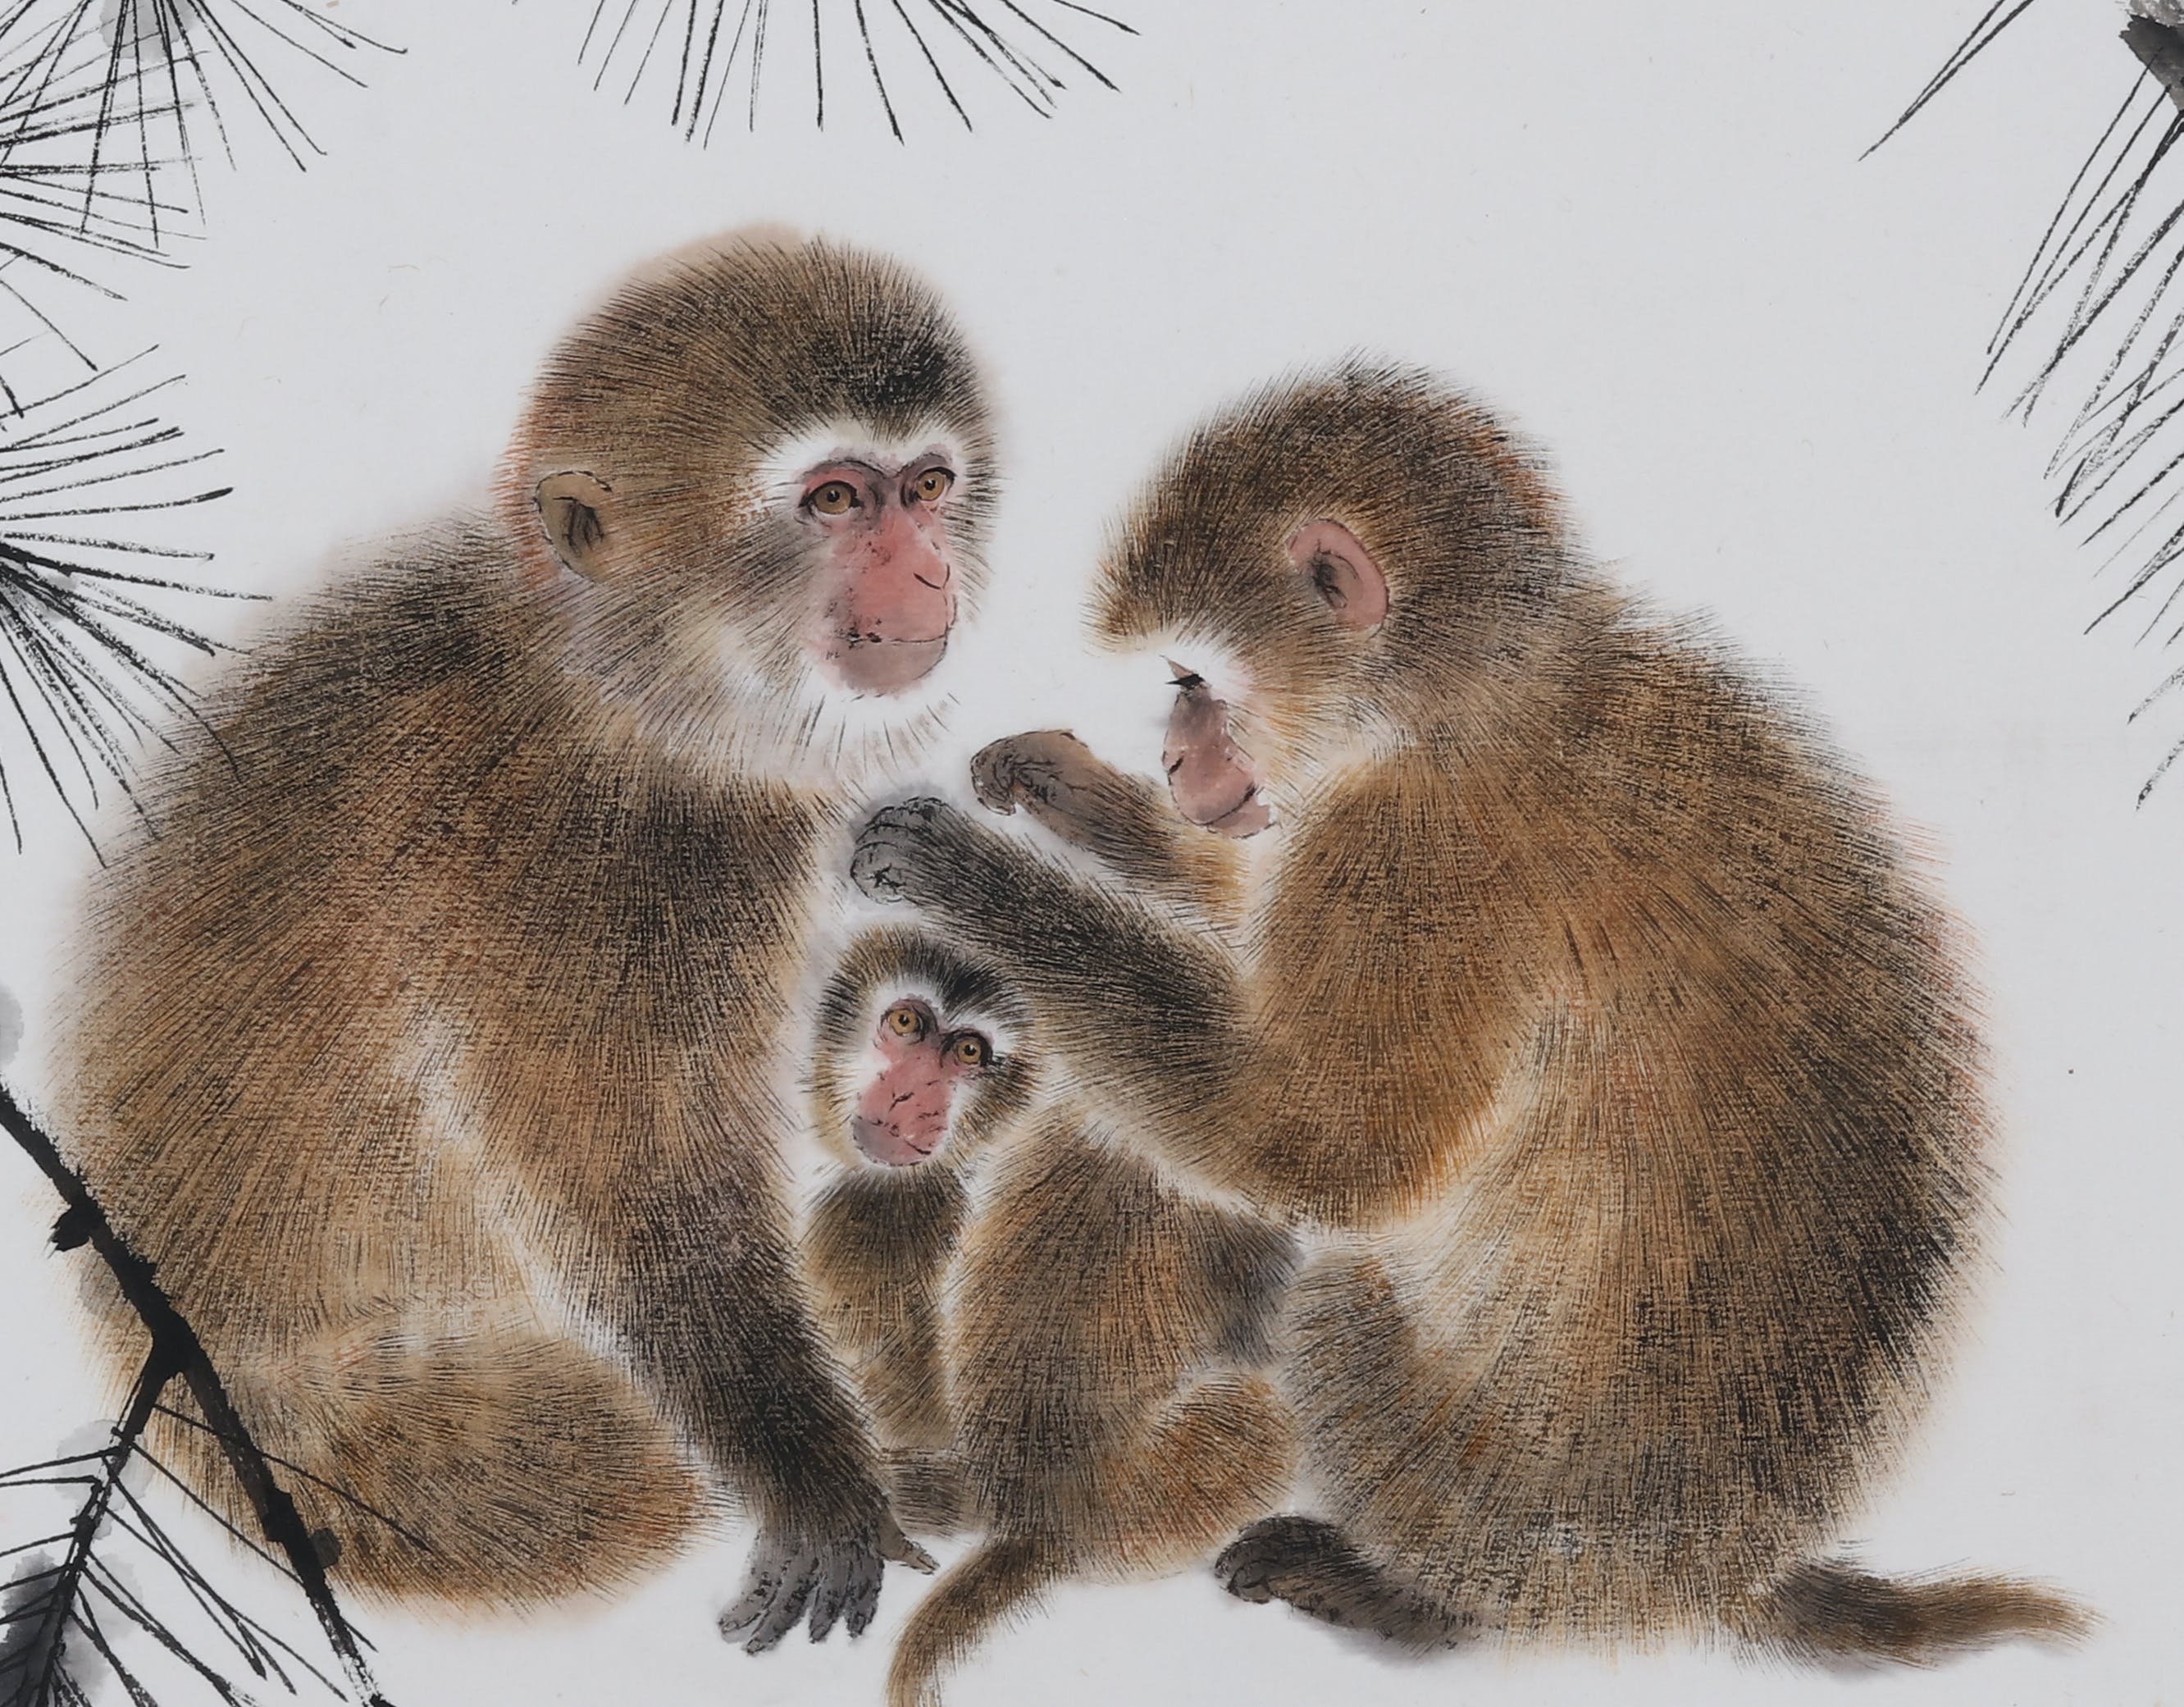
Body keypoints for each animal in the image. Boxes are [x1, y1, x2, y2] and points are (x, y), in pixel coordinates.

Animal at [43, 231, 994, 1644]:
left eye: (925, 489)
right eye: (832, 500)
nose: (927, 572)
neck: (616, 678)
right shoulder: (586, 868)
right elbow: (640, 1200)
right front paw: (813, 1475)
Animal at [799, 926, 1299, 1707]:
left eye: (968, 1053)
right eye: (906, 1023)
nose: (906, 1094)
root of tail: (1040, 1519)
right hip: (1146, 1500)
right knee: (1259, 1413)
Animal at [848, 361, 2091, 1669]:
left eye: (1192, 687)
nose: (1176, 761)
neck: (1473, 689)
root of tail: (1698, 1578)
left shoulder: (1412, 839)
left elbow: (1326, 1146)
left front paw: (972, 879)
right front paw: (1067, 786)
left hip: (1469, 1481)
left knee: (1327, 1284)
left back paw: (1412, 1599)